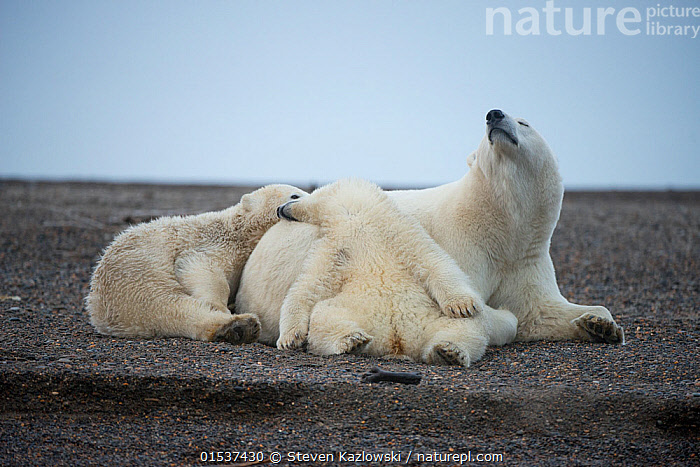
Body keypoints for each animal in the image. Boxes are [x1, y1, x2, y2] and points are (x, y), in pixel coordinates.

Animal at [85, 184, 307, 344]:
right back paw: (240, 325)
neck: (238, 230)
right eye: (294, 195)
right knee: (170, 305)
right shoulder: (212, 243)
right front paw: (219, 304)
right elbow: (198, 264)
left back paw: (240, 328)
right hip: (139, 274)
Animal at [235, 109, 624, 346]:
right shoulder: (460, 246)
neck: (498, 225)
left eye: (524, 122)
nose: (494, 113)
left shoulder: (524, 259)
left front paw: (600, 323)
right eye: (483, 136)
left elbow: (539, 310)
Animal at [274, 178, 517, 366]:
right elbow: (310, 285)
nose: (280, 208)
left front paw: (462, 305)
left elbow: (433, 261)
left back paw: (450, 351)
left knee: (466, 328)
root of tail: (397, 343)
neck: (357, 220)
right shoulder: (337, 248)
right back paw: (352, 340)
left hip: (434, 317)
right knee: (326, 316)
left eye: (295, 197)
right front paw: (289, 338)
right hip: (354, 311)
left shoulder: (398, 230)